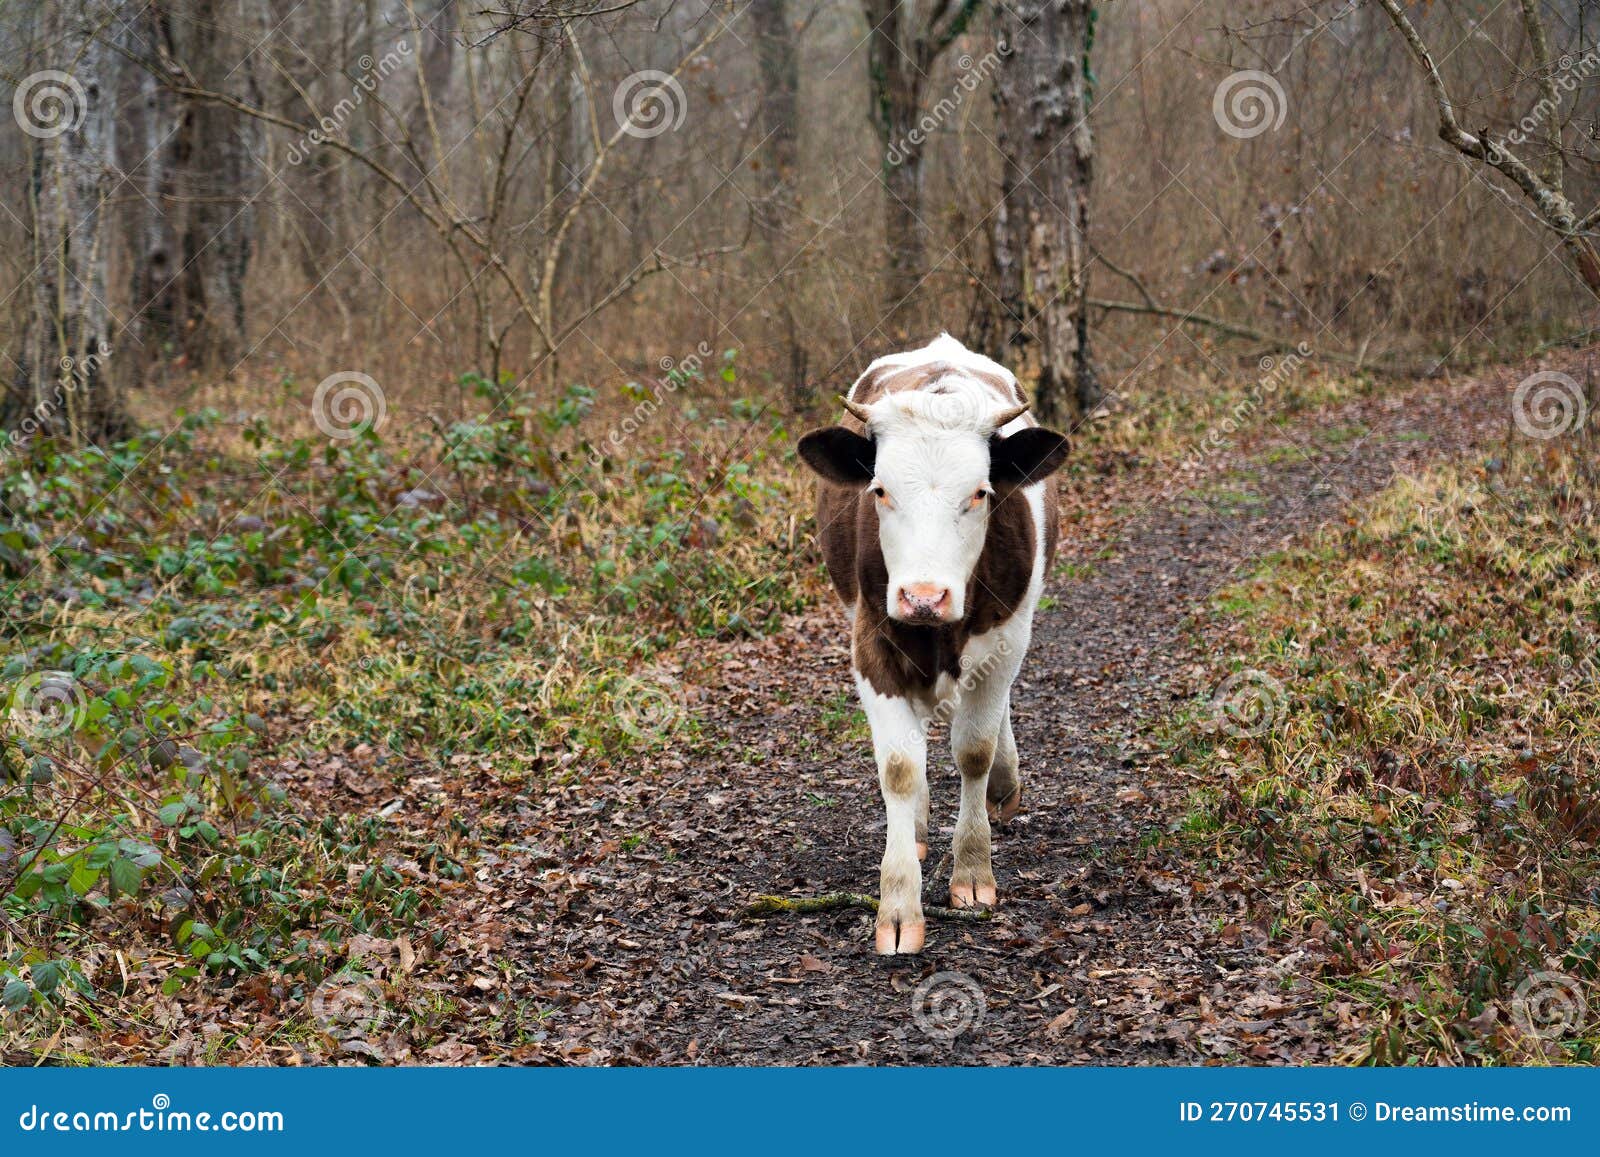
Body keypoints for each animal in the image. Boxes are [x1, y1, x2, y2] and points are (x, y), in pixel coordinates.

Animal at [797, 334, 1069, 955]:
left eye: (980, 492)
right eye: (879, 490)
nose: (924, 597)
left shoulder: (1007, 638)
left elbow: (974, 750)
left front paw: (971, 870)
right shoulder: (870, 644)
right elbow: (899, 767)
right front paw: (899, 906)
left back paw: (1003, 786)